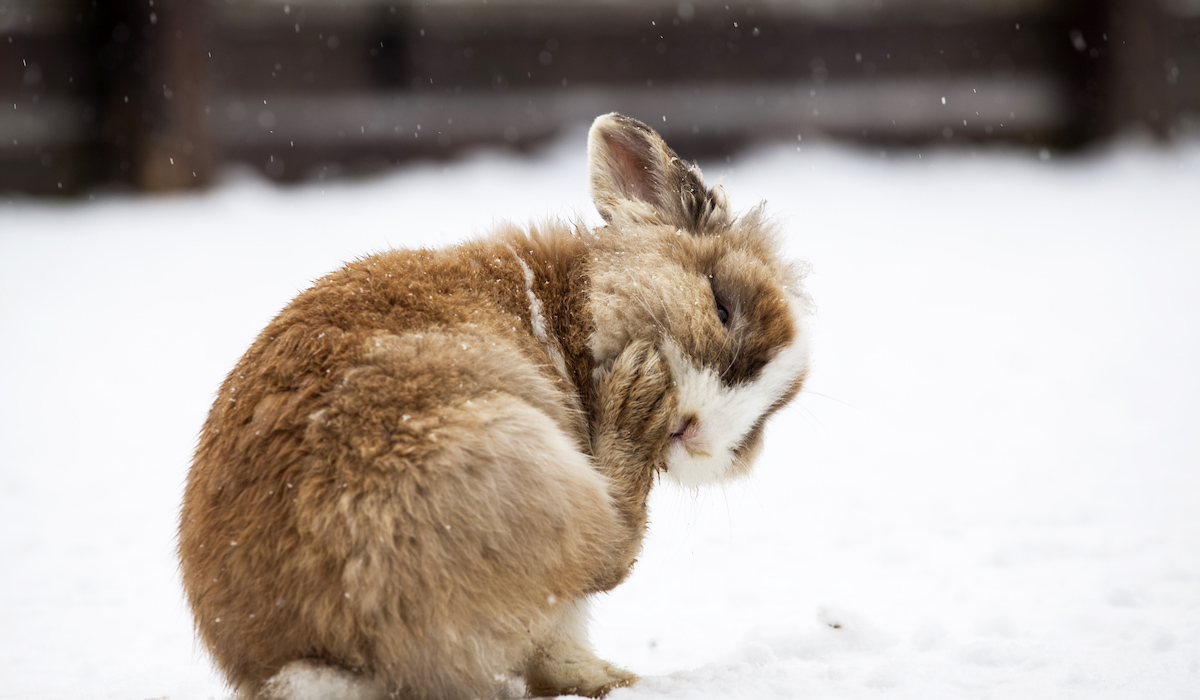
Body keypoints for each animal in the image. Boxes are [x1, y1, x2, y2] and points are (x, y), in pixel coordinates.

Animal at [178, 113, 812, 700]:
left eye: (769, 415)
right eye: (722, 306)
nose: (701, 433)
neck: (574, 313)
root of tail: (317, 662)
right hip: (527, 460)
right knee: (608, 556)